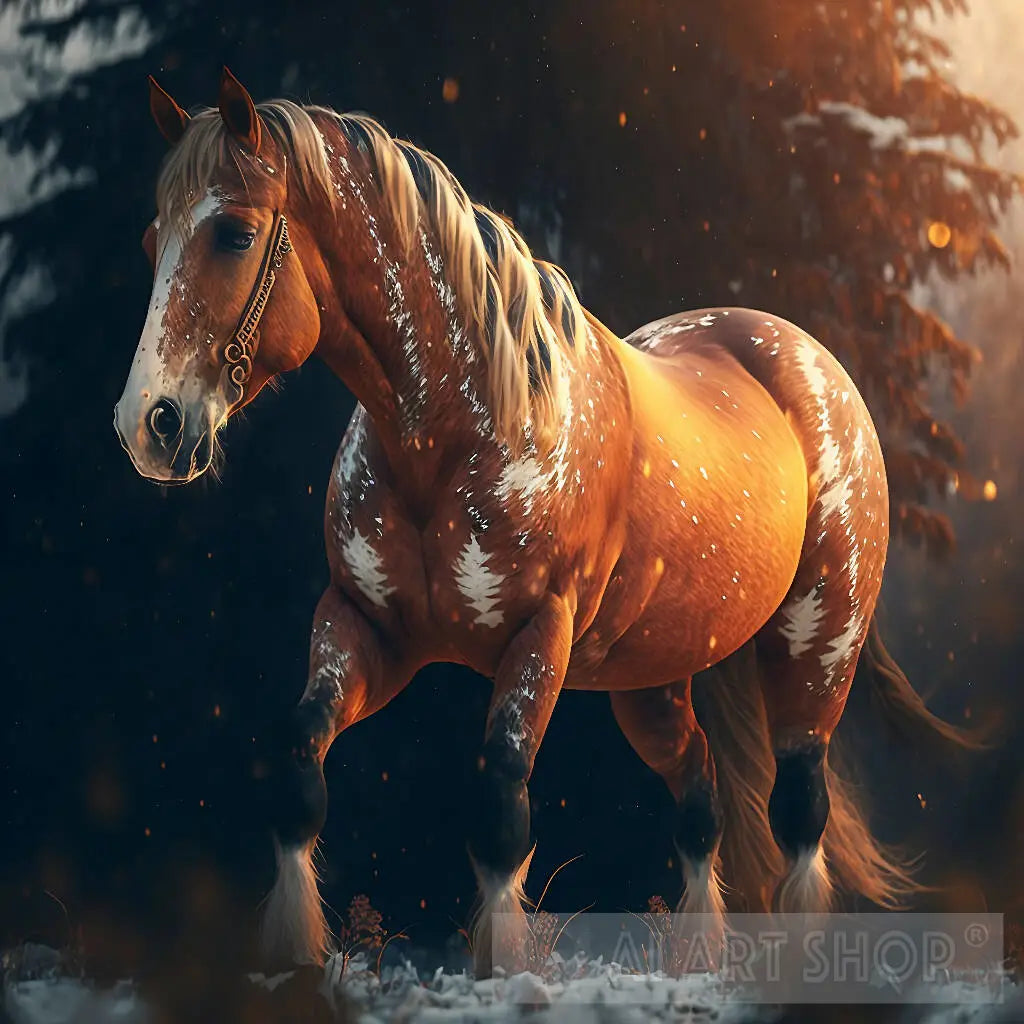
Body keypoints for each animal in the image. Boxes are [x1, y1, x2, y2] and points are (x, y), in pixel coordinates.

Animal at [114, 68, 981, 978]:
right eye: (151, 241)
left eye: (235, 234)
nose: (149, 425)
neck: (458, 428)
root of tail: (807, 359)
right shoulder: (363, 627)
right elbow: (298, 772)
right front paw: (292, 962)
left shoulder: (540, 635)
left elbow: (501, 809)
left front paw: (501, 966)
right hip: (656, 679)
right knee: (701, 799)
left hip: (817, 649)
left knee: (801, 817)